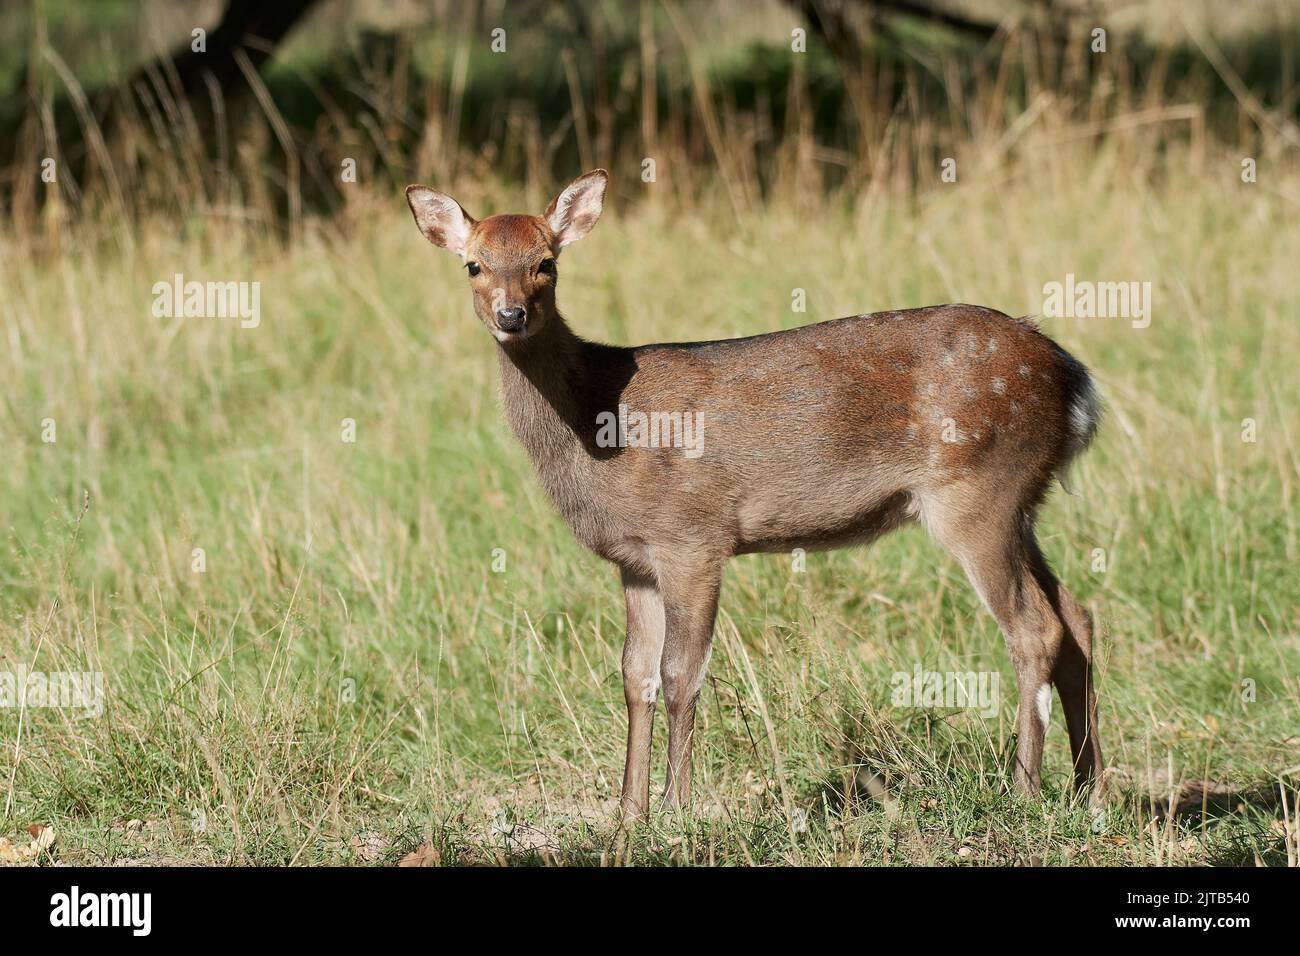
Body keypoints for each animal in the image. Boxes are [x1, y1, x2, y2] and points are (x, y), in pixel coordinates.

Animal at [405, 169, 1105, 821]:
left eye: (546, 262)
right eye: (474, 264)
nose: (511, 315)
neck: (599, 421)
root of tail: (1075, 381)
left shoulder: (693, 536)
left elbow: (680, 672)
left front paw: (677, 810)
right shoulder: (635, 560)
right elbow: (634, 676)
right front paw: (628, 814)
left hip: (977, 492)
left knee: (1035, 628)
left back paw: (1024, 790)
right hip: (1021, 504)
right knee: (1077, 615)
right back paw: (1088, 792)